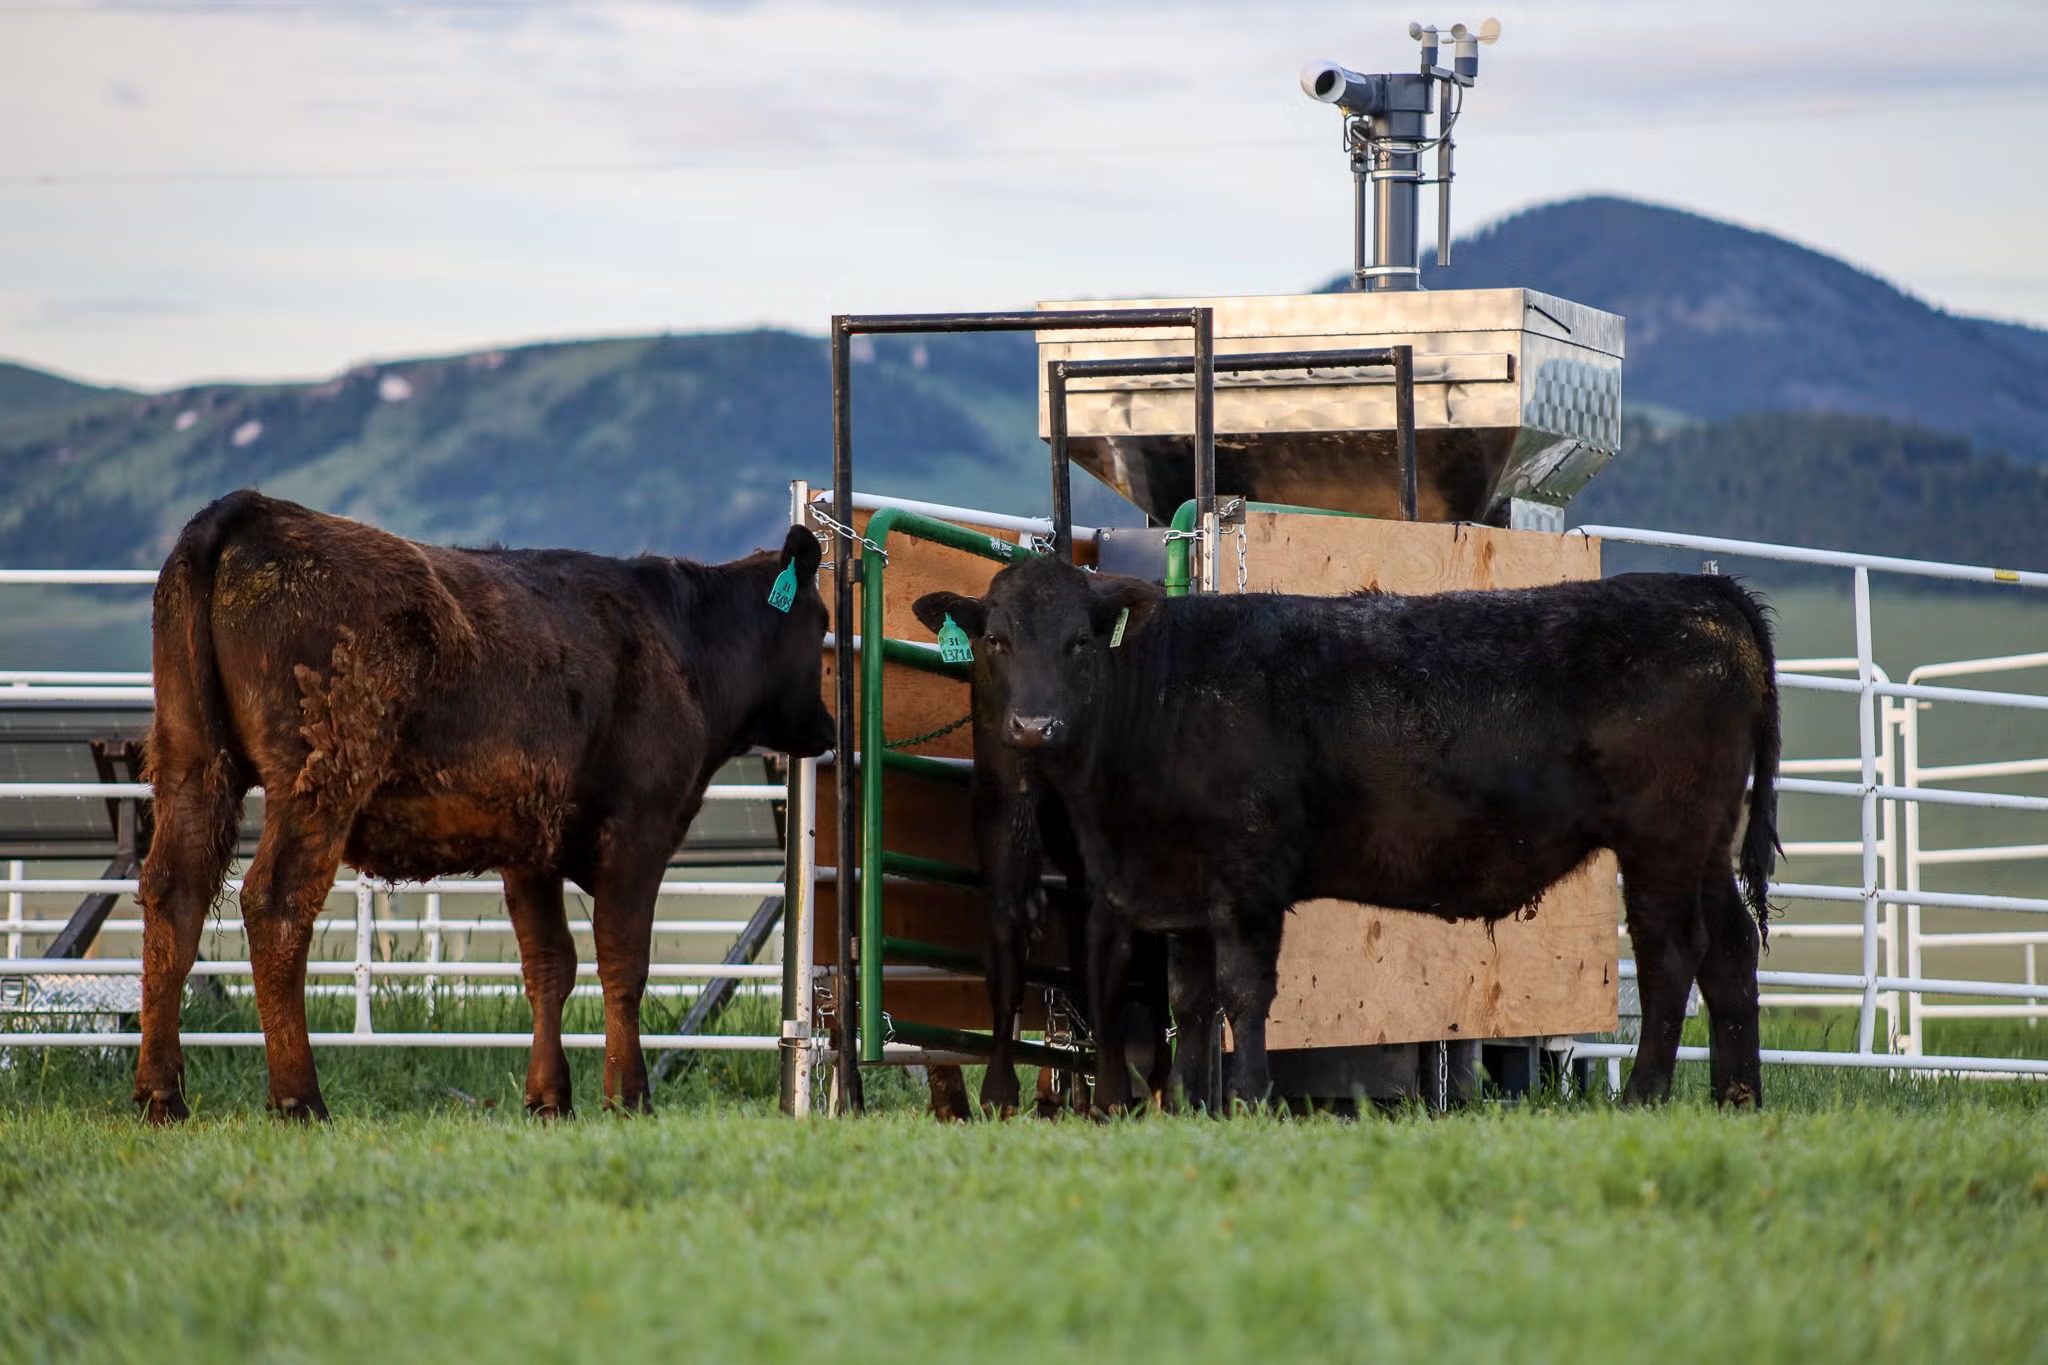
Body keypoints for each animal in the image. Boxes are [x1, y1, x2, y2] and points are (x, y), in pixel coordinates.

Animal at [134, 490, 834, 1123]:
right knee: (276, 904)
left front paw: (549, 1098)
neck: (681, 643)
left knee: (174, 893)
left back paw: (161, 1096)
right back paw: (299, 1098)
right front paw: (628, 1095)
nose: (829, 729)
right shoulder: (639, 827)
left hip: (190, 761)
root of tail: (253, 508)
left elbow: (550, 964)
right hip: (320, 778)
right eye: (823, 625)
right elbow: (623, 963)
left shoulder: (531, 849)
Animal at [912, 557, 1780, 1112]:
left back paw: (1645, 1094)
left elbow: (1242, 991)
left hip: (1662, 838)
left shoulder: (1247, 876)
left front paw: (1250, 1097)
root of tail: (1704, 592)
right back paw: (1737, 1096)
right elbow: (1191, 998)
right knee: (1731, 948)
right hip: (1705, 842)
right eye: (996, 640)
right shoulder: (1182, 886)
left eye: (1080, 642)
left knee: (1674, 953)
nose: (1034, 726)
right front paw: (1192, 1103)